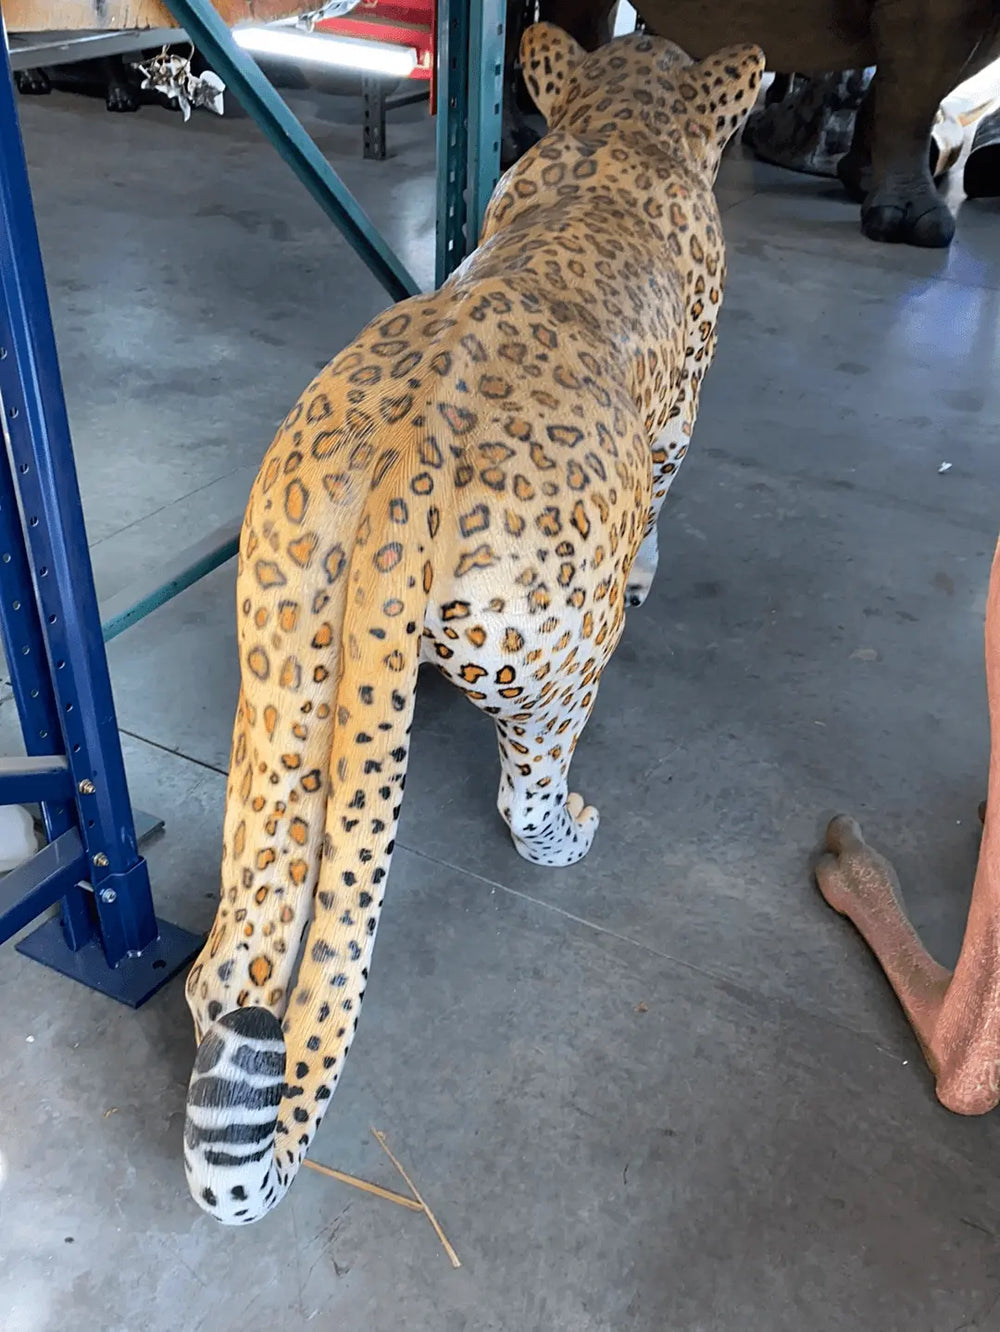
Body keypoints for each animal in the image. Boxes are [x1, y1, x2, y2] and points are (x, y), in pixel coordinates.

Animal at [182, 22, 765, 1225]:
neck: (618, 128)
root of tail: (402, 473)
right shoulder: (677, 423)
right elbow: (661, 502)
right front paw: (653, 565)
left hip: (278, 697)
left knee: (233, 963)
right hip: (556, 662)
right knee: (523, 784)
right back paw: (565, 834)